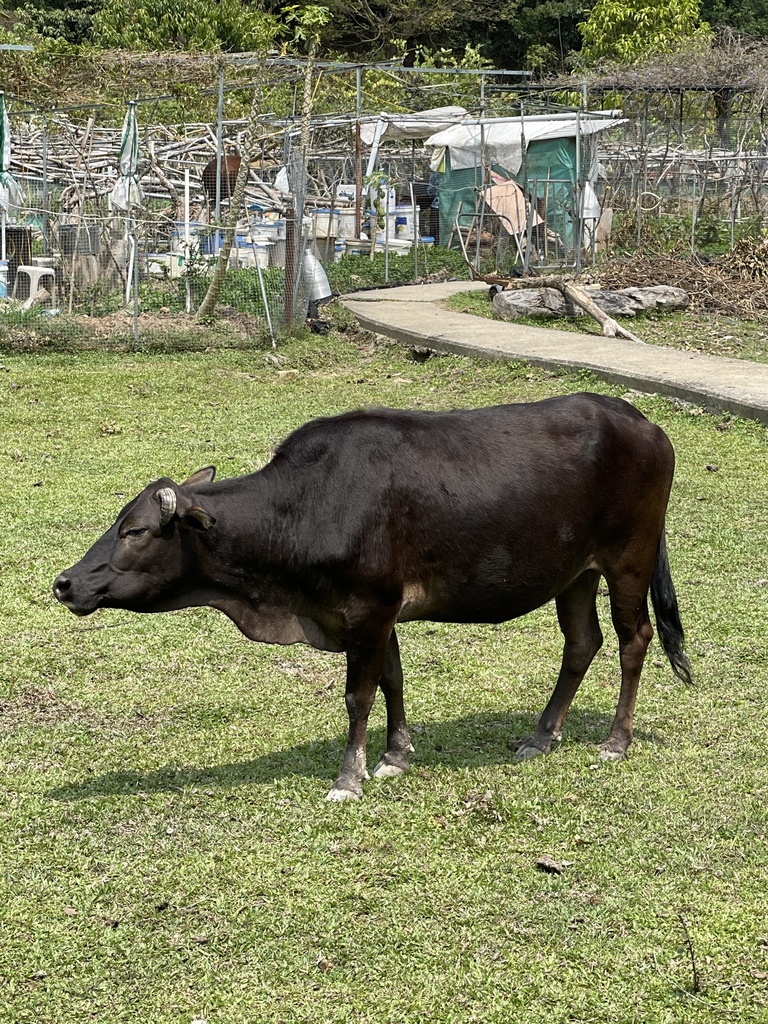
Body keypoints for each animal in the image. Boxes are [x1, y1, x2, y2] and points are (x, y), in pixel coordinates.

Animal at [53, 393, 691, 801]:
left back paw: (615, 741)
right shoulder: (372, 613)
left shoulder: (370, 606)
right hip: (574, 574)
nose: (65, 582)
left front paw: (348, 777)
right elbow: (393, 680)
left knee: (634, 639)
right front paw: (395, 756)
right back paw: (540, 735)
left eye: (135, 530)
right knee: (582, 643)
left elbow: (358, 695)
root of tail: (638, 418)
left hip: (628, 560)